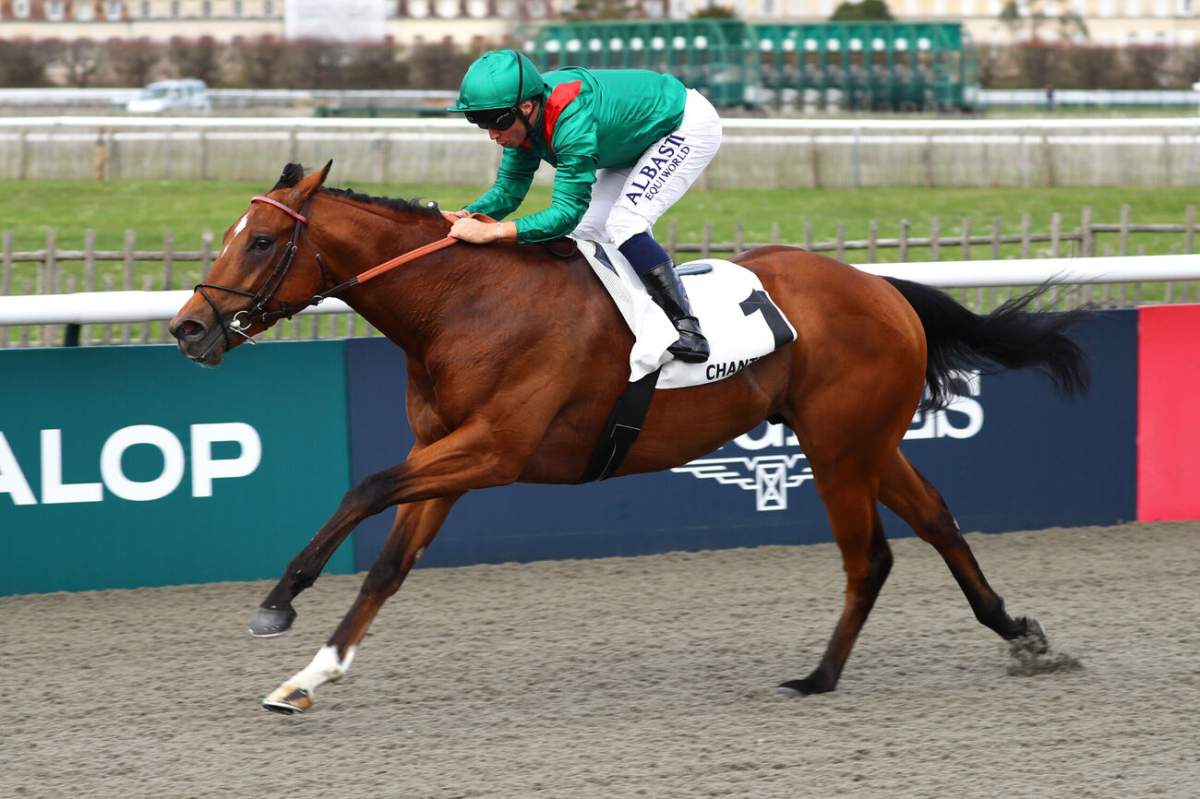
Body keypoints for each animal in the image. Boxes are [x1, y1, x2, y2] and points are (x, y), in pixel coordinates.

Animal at [169, 162, 1088, 714]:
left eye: (260, 240)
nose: (187, 328)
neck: (462, 304)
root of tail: (882, 287)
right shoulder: (453, 458)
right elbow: (390, 566)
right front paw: (308, 676)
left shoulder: (495, 448)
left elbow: (363, 486)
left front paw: (278, 600)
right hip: (865, 440)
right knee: (935, 520)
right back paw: (1020, 633)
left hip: (838, 447)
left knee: (871, 556)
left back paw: (819, 676)